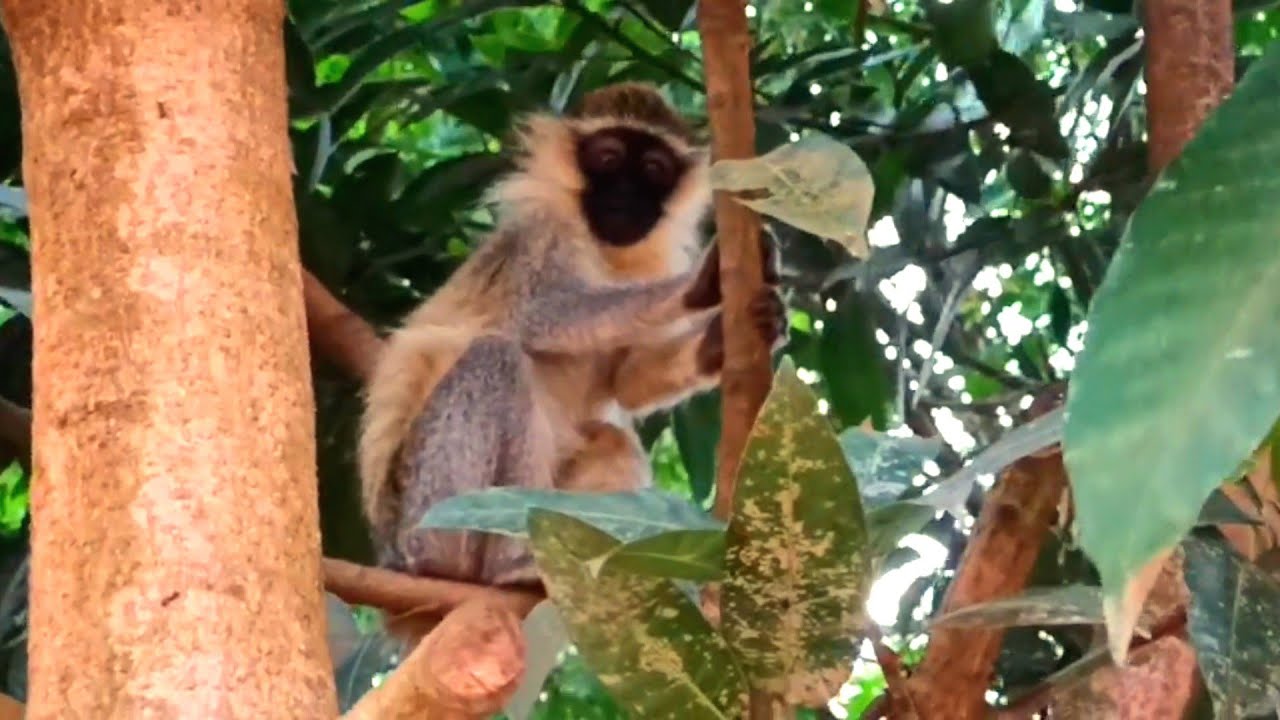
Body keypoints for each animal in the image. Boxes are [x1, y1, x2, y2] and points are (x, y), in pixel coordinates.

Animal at [357, 83, 787, 636]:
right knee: (497, 361)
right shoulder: (541, 237)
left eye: (654, 169)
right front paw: (700, 285)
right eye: (608, 158)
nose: (626, 197)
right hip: (420, 508)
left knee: (613, 442)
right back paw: (508, 565)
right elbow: (544, 317)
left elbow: (628, 380)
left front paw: (744, 329)